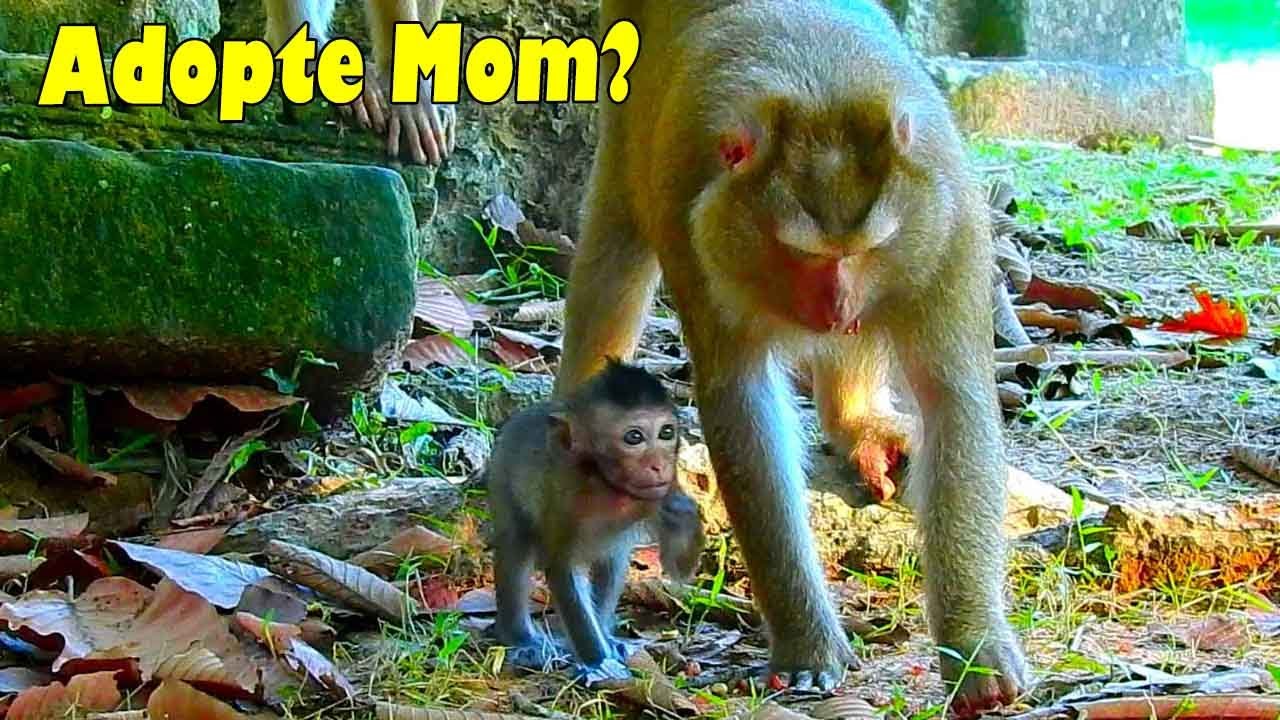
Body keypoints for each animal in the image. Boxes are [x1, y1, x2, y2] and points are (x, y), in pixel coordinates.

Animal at [486, 360, 700, 684]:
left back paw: (608, 636)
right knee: (518, 544)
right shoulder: (564, 493)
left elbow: (680, 571)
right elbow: (561, 566)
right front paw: (597, 661)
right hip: (502, 480)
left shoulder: (662, 489)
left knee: (612, 559)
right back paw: (522, 638)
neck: (606, 484)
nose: (659, 465)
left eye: (666, 432)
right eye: (634, 437)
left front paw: (683, 513)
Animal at [554, 0, 1028, 714]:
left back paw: (858, 422)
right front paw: (807, 643)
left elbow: (954, 403)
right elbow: (743, 406)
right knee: (613, 257)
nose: (835, 303)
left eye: (865, 249)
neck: (823, 90)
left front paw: (975, 650)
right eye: (801, 252)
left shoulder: (946, 228)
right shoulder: (695, 224)